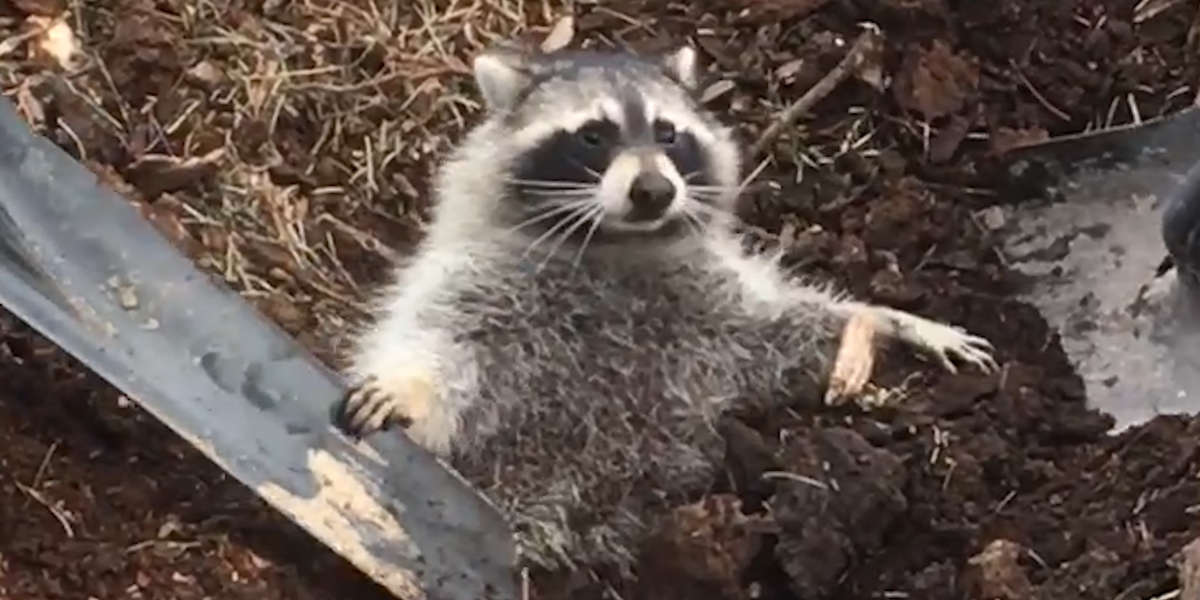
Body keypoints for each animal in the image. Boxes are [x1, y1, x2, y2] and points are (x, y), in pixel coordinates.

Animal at [334, 43, 997, 575]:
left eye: (669, 133)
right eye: (593, 135)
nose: (654, 190)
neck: (616, 247)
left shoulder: (711, 306)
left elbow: (789, 330)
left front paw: (889, 324)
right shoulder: (479, 280)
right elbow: (445, 345)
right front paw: (409, 389)